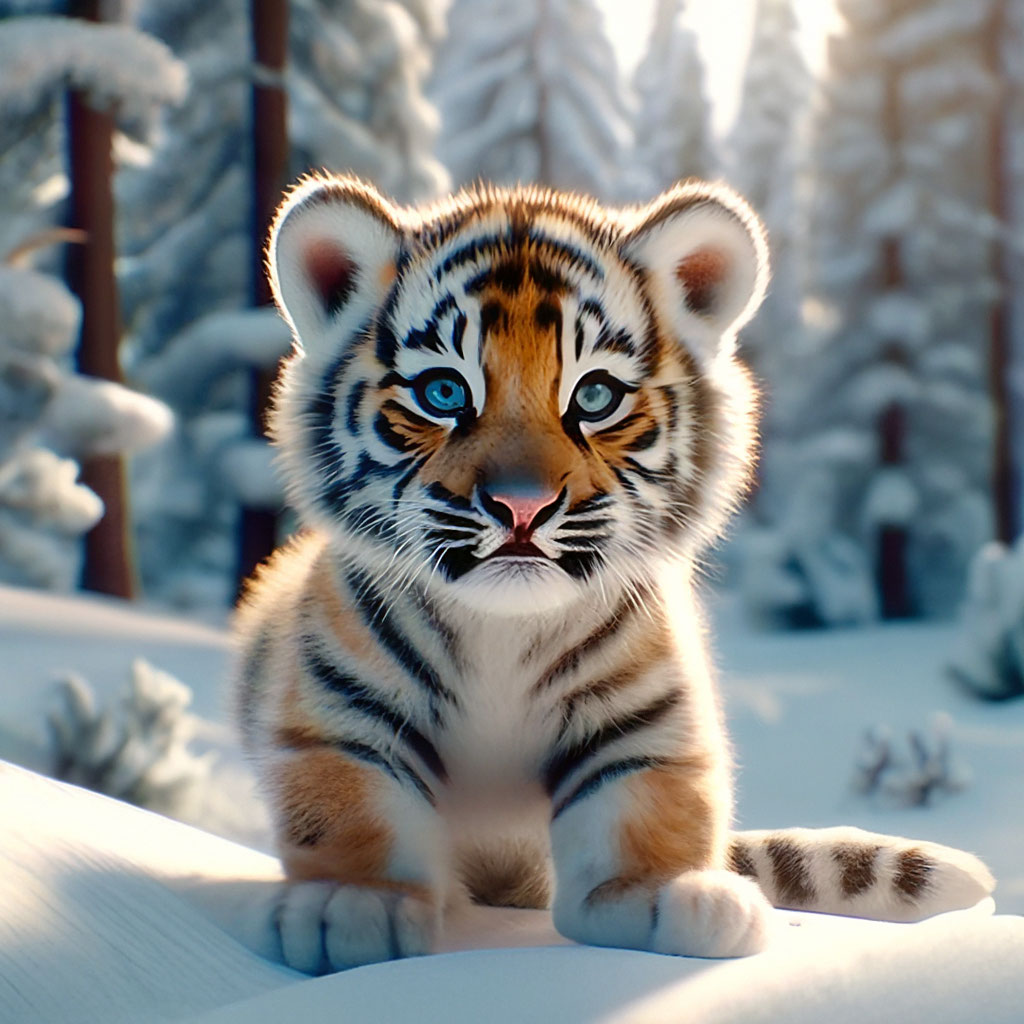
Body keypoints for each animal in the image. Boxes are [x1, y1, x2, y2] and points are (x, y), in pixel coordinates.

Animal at [232, 173, 994, 974]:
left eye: (595, 396)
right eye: (444, 392)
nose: (522, 505)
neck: (501, 631)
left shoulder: (643, 721)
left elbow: (647, 806)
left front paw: (669, 895)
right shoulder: (342, 716)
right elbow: (350, 803)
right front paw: (348, 903)